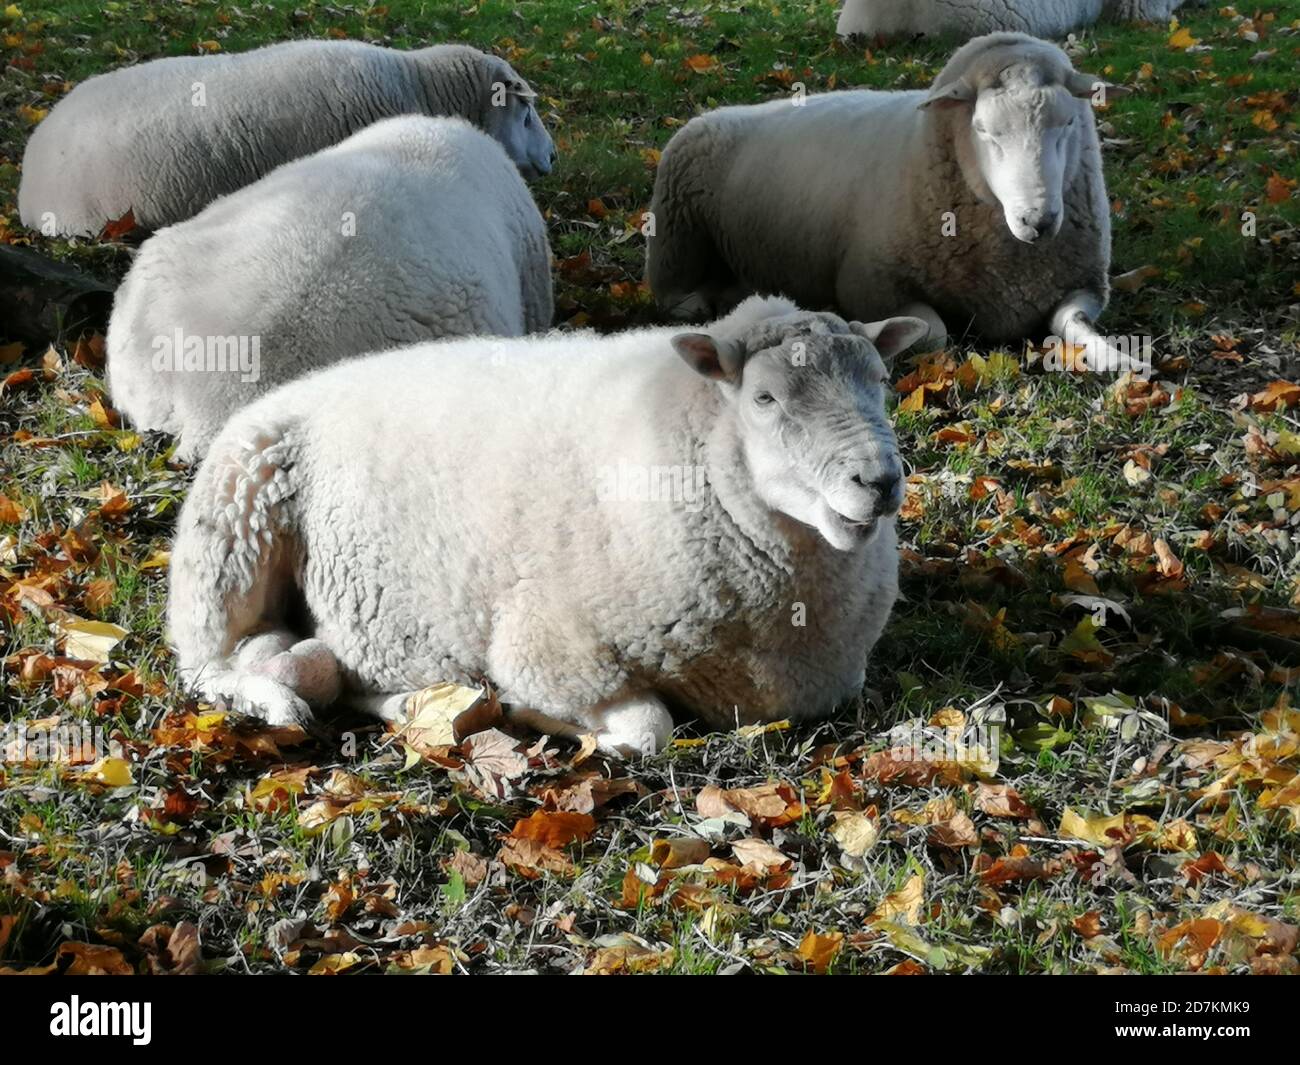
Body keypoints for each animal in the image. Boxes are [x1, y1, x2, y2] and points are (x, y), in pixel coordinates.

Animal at [165, 296, 928, 756]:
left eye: (881, 381)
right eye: (765, 398)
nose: (879, 482)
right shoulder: (548, 648)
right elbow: (648, 729)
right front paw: (560, 724)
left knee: (315, 664)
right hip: (230, 535)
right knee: (208, 666)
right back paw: (280, 698)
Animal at [647, 33, 1125, 369]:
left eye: (1067, 124)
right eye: (985, 131)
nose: (1038, 220)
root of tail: (715, 113)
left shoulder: (1086, 284)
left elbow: (1076, 324)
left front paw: (1118, 358)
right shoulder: (869, 286)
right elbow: (935, 332)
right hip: (676, 238)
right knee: (670, 295)